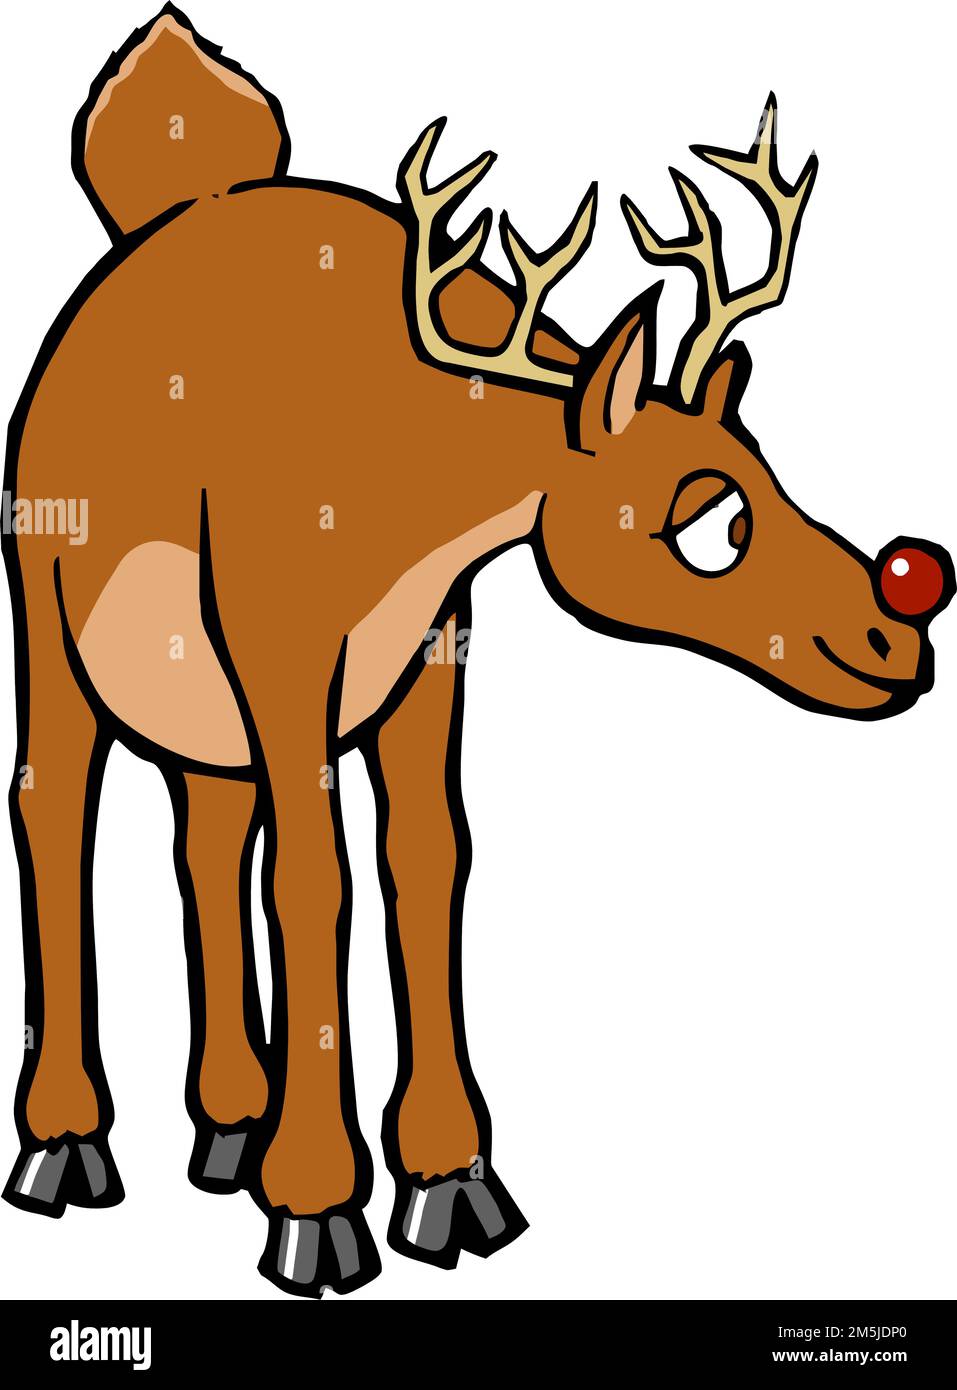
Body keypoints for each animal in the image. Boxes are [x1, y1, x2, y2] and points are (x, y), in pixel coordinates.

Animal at [3, 6, 953, 1300]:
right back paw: (66, 1142)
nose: (894, 627)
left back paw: (230, 1123)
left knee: (206, 835)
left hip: (201, 702)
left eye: (768, 464)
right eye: (706, 513)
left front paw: (449, 1181)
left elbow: (427, 860)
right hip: (49, 618)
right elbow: (316, 879)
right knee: (52, 806)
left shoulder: (430, 649)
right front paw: (318, 1205)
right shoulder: (285, 650)